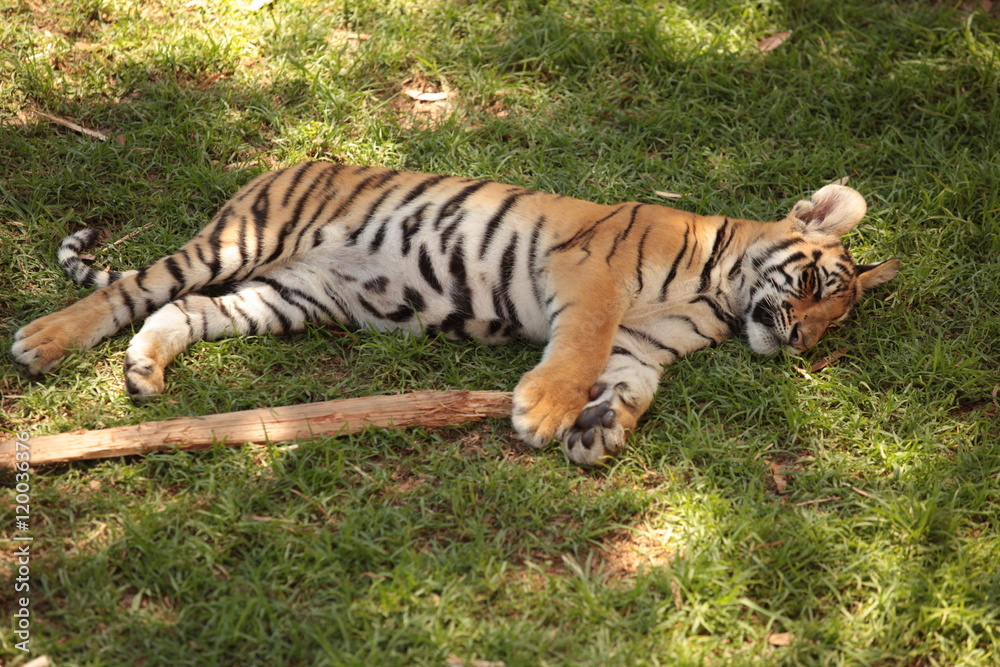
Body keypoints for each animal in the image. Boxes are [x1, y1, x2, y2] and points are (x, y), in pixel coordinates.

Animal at [12, 161, 900, 466]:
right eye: (815, 288)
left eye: (831, 329)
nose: (796, 340)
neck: (720, 294)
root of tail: (278, 166)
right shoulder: (594, 277)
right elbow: (577, 353)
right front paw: (545, 413)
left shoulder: (644, 348)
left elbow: (628, 387)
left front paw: (600, 432)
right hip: (244, 237)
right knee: (131, 288)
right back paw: (41, 341)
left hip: (289, 296)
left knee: (186, 310)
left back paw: (144, 367)